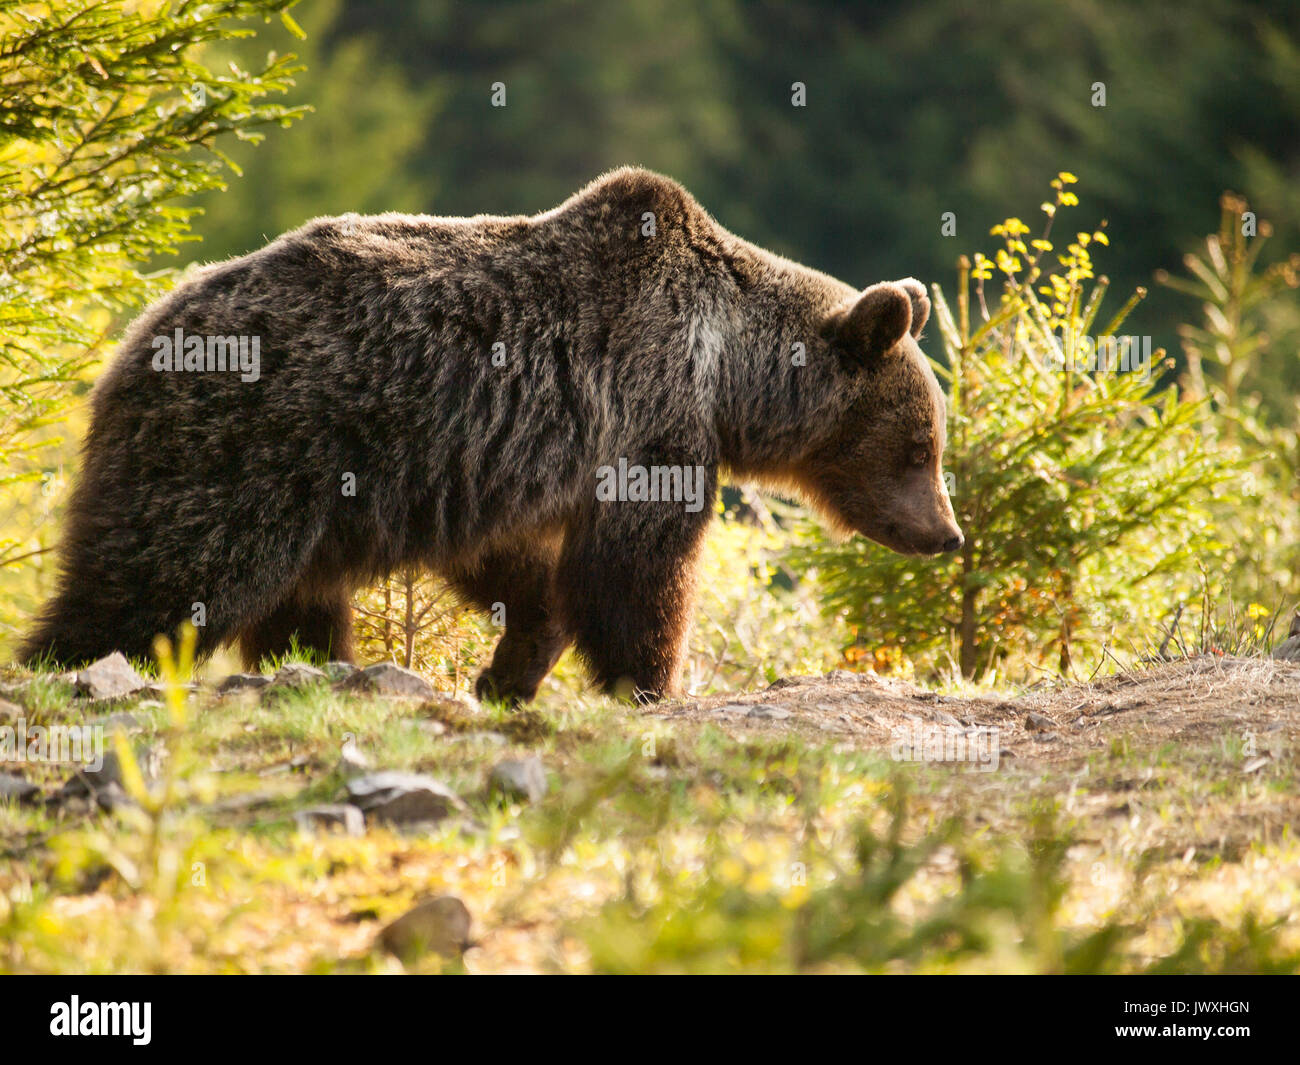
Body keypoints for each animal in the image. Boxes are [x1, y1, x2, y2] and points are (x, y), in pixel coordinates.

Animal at [20, 166, 962, 703]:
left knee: (295, 596)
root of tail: (132, 339)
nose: (947, 533)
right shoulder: (646, 419)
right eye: (922, 446)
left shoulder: (488, 466)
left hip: (312, 493)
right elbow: (635, 569)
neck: (728, 372)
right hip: (244, 449)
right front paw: (650, 680)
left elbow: (520, 572)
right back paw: (69, 661)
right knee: (166, 572)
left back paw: (314, 664)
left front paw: (509, 670)